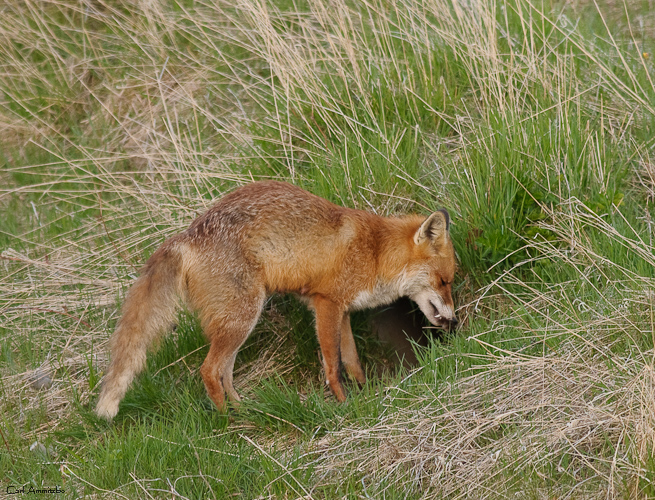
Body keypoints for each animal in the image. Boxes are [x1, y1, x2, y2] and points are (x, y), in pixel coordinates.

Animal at [95, 181, 457, 419]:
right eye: (444, 281)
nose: (454, 322)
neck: (374, 252)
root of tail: (186, 235)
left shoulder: (341, 311)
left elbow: (353, 362)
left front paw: (365, 393)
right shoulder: (325, 304)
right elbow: (333, 366)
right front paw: (343, 405)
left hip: (236, 324)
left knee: (224, 372)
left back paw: (243, 410)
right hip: (243, 316)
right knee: (209, 370)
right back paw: (229, 424)